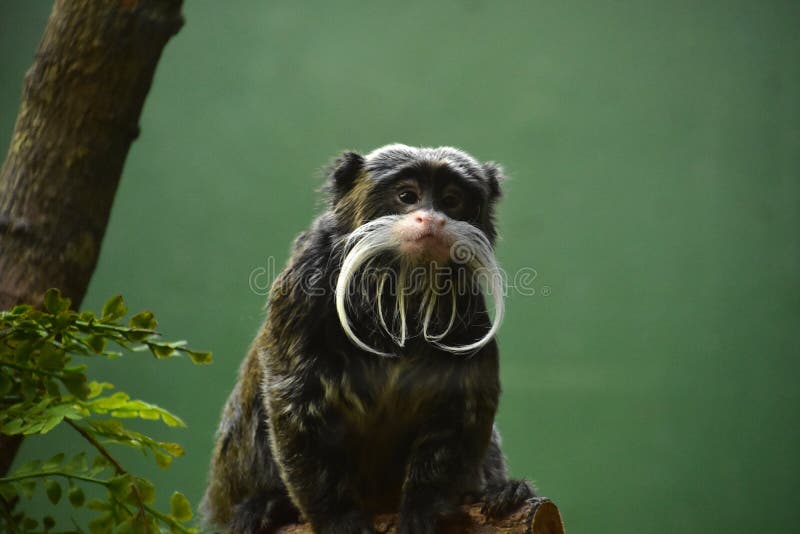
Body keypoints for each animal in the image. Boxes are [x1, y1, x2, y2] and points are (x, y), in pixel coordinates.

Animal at [201, 144, 539, 533]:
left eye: (451, 200)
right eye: (407, 196)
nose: (432, 219)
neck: (399, 286)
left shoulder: (470, 310)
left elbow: (461, 407)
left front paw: (424, 509)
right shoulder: (304, 286)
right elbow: (295, 399)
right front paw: (338, 519)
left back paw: (500, 493)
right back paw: (265, 504)